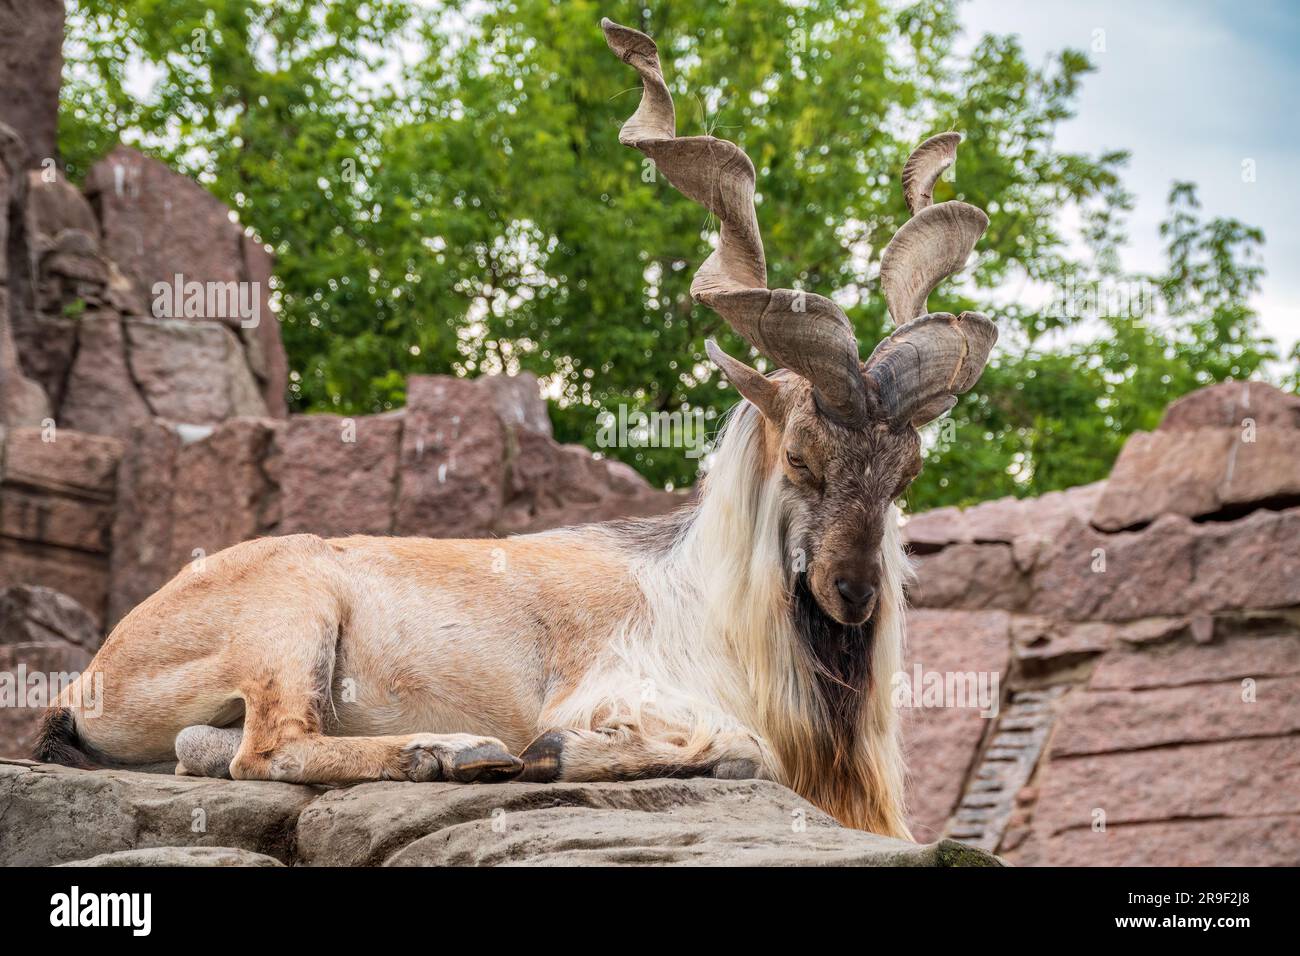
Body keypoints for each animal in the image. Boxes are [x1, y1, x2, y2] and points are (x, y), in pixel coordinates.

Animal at [35, 18, 995, 838]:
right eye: (799, 456)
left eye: (905, 474)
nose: (854, 593)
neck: (708, 596)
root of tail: (93, 676)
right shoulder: (625, 691)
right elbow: (735, 750)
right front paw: (553, 752)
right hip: (292, 609)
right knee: (268, 747)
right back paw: (455, 751)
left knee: (209, 749)